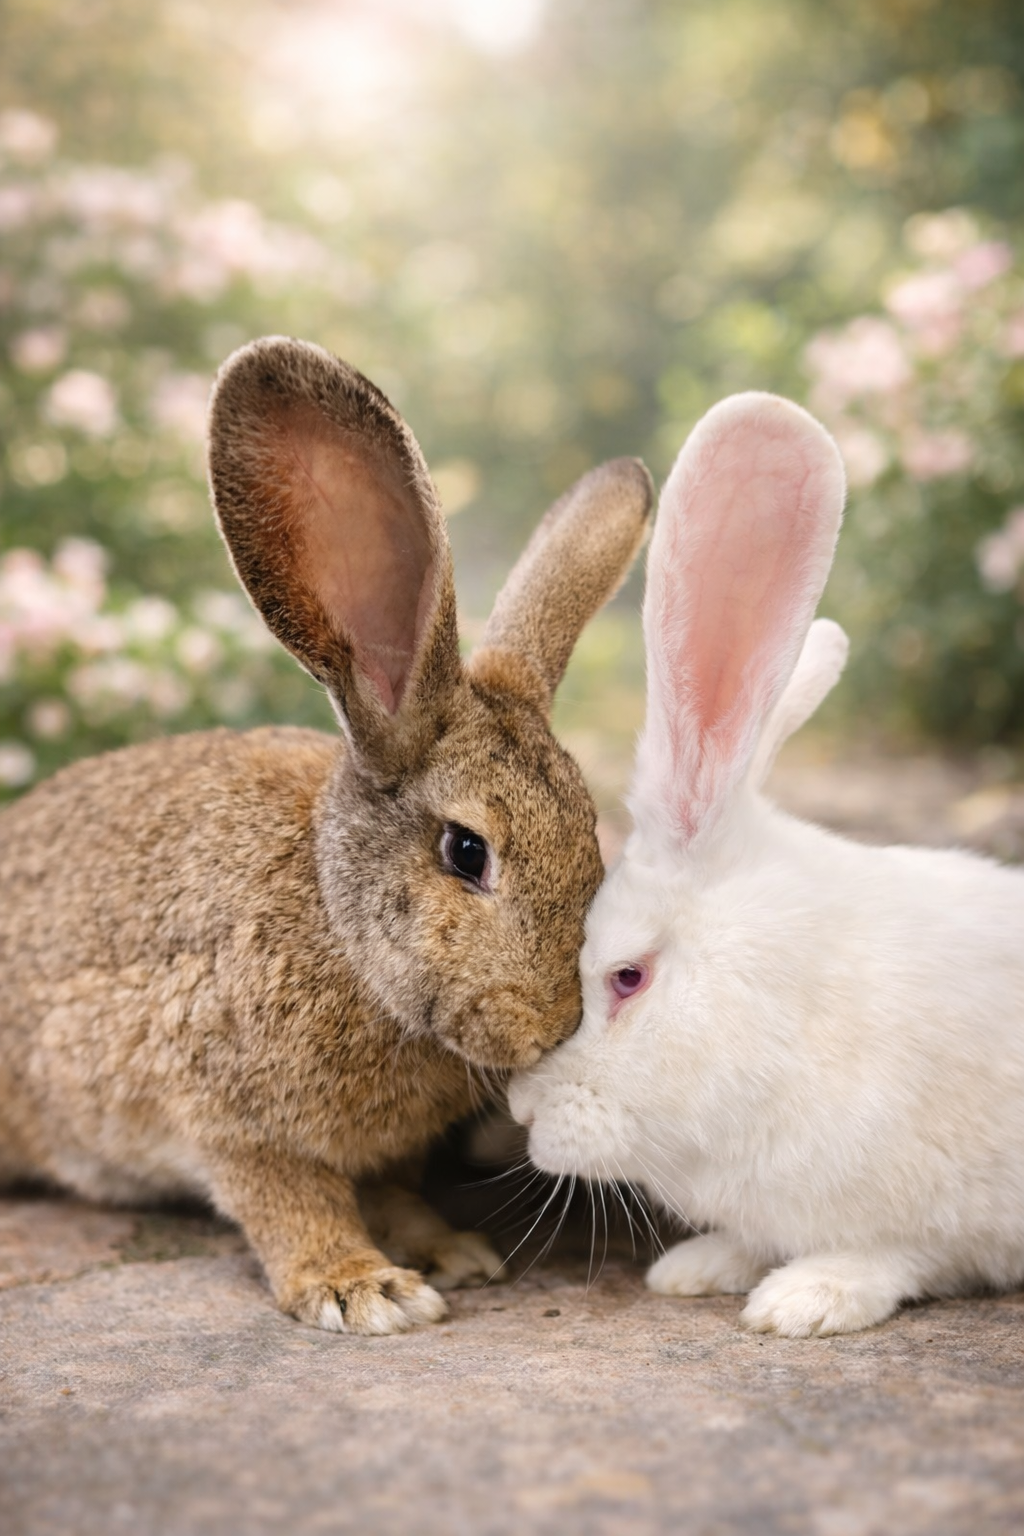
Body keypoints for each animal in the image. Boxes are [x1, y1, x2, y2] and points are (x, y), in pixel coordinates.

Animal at [0, 336, 654, 1334]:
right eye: (468, 852)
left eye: (591, 830)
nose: (554, 1024)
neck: (337, 922)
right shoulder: (229, 1118)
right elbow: (290, 1204)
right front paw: (364, 1289)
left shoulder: (378, 1152)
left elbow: (391, 1193)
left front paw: (447, 1251)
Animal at [508, 390, 1024, 1338]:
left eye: (628, 977)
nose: (523, 1108)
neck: (797, 1006)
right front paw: (698, 1266)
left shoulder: (943, 1216)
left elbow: (897, 1256)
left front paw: (803, 1301)